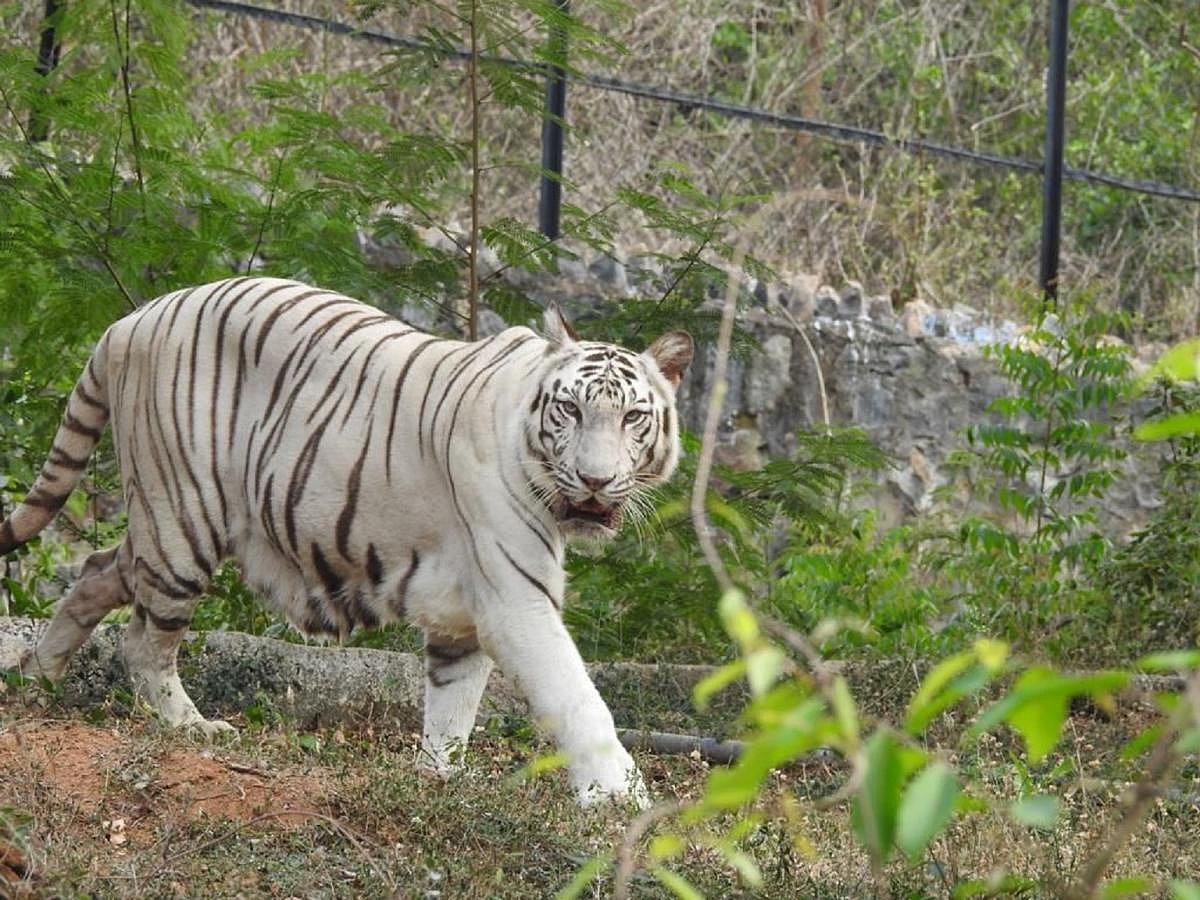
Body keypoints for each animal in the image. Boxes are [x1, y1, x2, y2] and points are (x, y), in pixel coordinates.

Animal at [0, 276, 693, 806]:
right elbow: (578, 698)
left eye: (633, 417)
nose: (595, 480)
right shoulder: (515, 600)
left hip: (162, 525)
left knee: (97, 571)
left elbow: (453, 704)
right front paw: (622, 800)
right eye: (569, 410)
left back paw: (37, 679)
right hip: (182, 518)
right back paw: (191, 726)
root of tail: (131, 319)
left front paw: (438, 777)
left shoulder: (464, 614)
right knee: (145, 639)